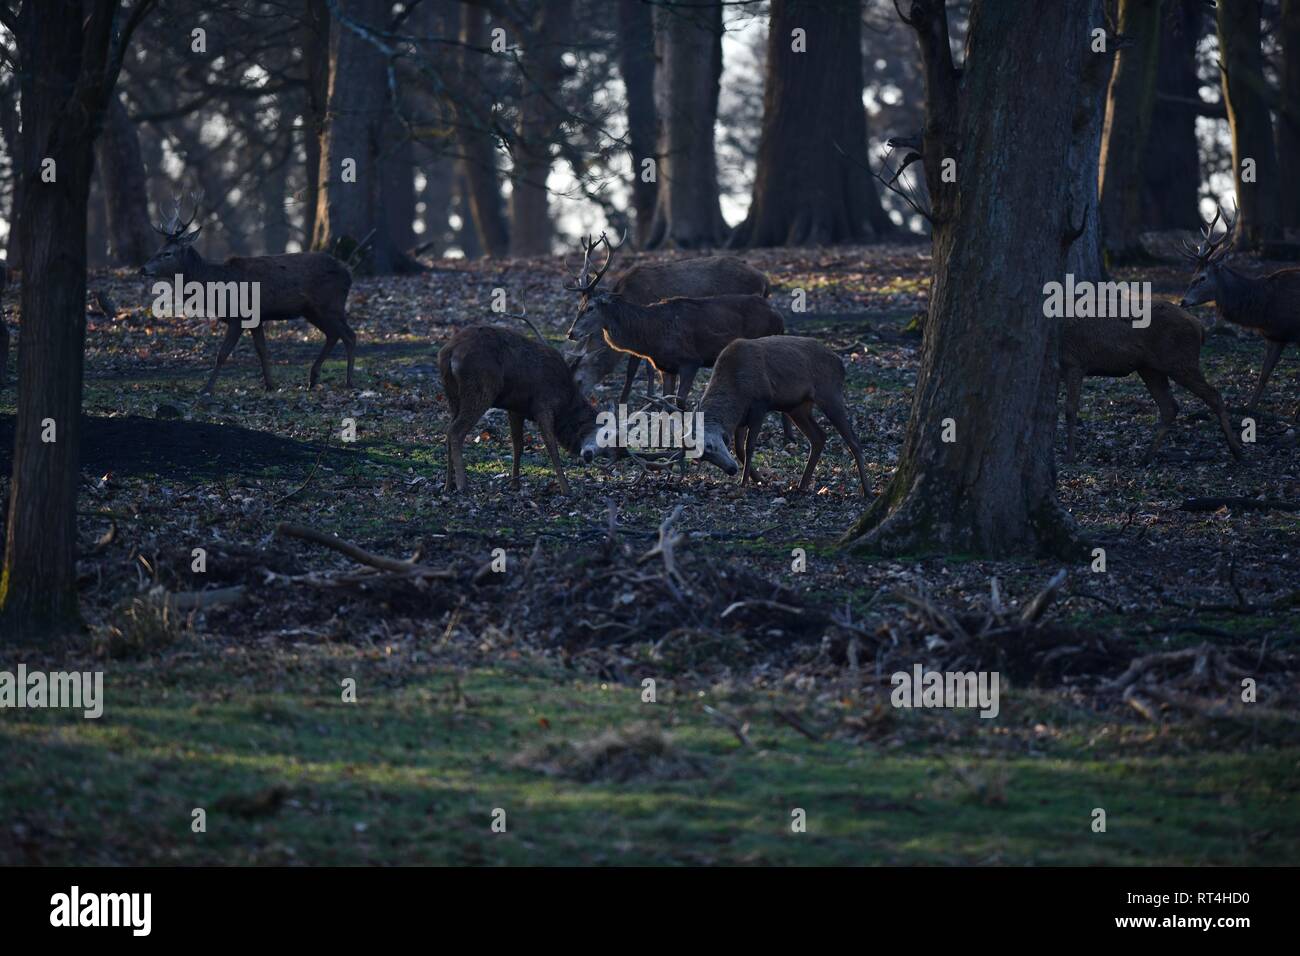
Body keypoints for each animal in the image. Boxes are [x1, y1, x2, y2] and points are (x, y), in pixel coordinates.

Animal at [139, 194, 357, 394]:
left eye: (167, 253)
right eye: (158, 248)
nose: (143, 268)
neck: (215, 284)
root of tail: (348, 274)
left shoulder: (239, 315)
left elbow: (222, 353)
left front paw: (207, 388)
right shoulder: (256, 318)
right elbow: (262, 351)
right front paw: (270, 385)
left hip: (330, 304)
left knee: (349, 335)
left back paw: (348, 382)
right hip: (312, 310)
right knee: (333, 334)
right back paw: (313, 379)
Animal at [438, 324, 609, 496]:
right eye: (607, 435)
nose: (589, 457)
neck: (565, 402)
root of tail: (449, 352)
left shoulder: (516, 409)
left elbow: (518, 445)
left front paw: (515, 484)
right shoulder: (543, 406)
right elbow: (552, 447)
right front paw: (566, 488)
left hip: (453, 395)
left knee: (448, 430)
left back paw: (448, 485)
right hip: (480, 390)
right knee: (455, 432)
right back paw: (463, 485)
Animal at [696, 336, 870, 497]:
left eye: (710, 445)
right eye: (703, 457)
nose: (731, 470)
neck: (737, 394)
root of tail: (840, 364)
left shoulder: (760, 402)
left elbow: (749, 446)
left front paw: (744, 482)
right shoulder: (741, 419)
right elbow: (738, 449)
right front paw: (760, 479)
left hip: (830, 392)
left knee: (853, 440)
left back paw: (867, 490)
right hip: (798, 408)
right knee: (819, 437)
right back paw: (802, 485)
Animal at [1059, 300, 1243, 463]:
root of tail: (1199, 325)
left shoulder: (1074, 363)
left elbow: (1070, 410)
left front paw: (1070, 456)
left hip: (1181, 363)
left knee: (1213, 395)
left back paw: (1237, 451)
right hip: (1151, 369)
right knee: (1170, 406)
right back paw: (1147, 457)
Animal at [1179, 206, 1300, 420]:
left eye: (1202, 277)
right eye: (1193, 275)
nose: (1183, 301)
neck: (1265, 306)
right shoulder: (1275, 335)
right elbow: (1263, 374)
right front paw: (1248, 407)